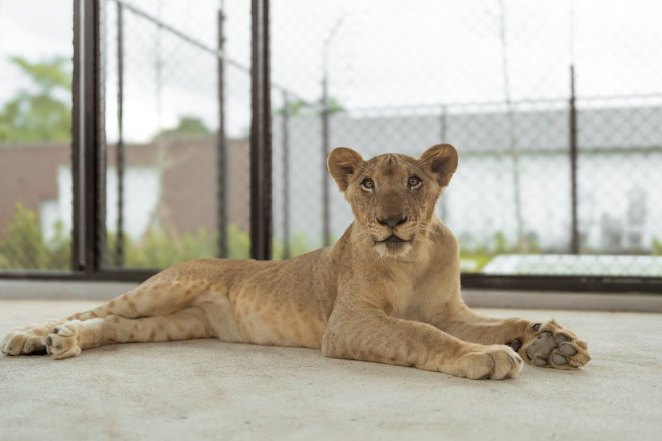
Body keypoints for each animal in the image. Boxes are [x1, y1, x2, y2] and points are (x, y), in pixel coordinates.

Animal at [1, 144, 589, 380]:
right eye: (367, 183)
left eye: (414, 182)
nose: (392, 220)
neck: (411, 260)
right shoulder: (347, 323)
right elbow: (423, 335)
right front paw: (488, 356)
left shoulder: (449, 310)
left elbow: (498, 320)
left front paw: (553, 342)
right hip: (164, 289)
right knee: (96, 309)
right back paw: (36, 336)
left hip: (173, 323)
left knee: (115, 325)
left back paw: (63, 342)